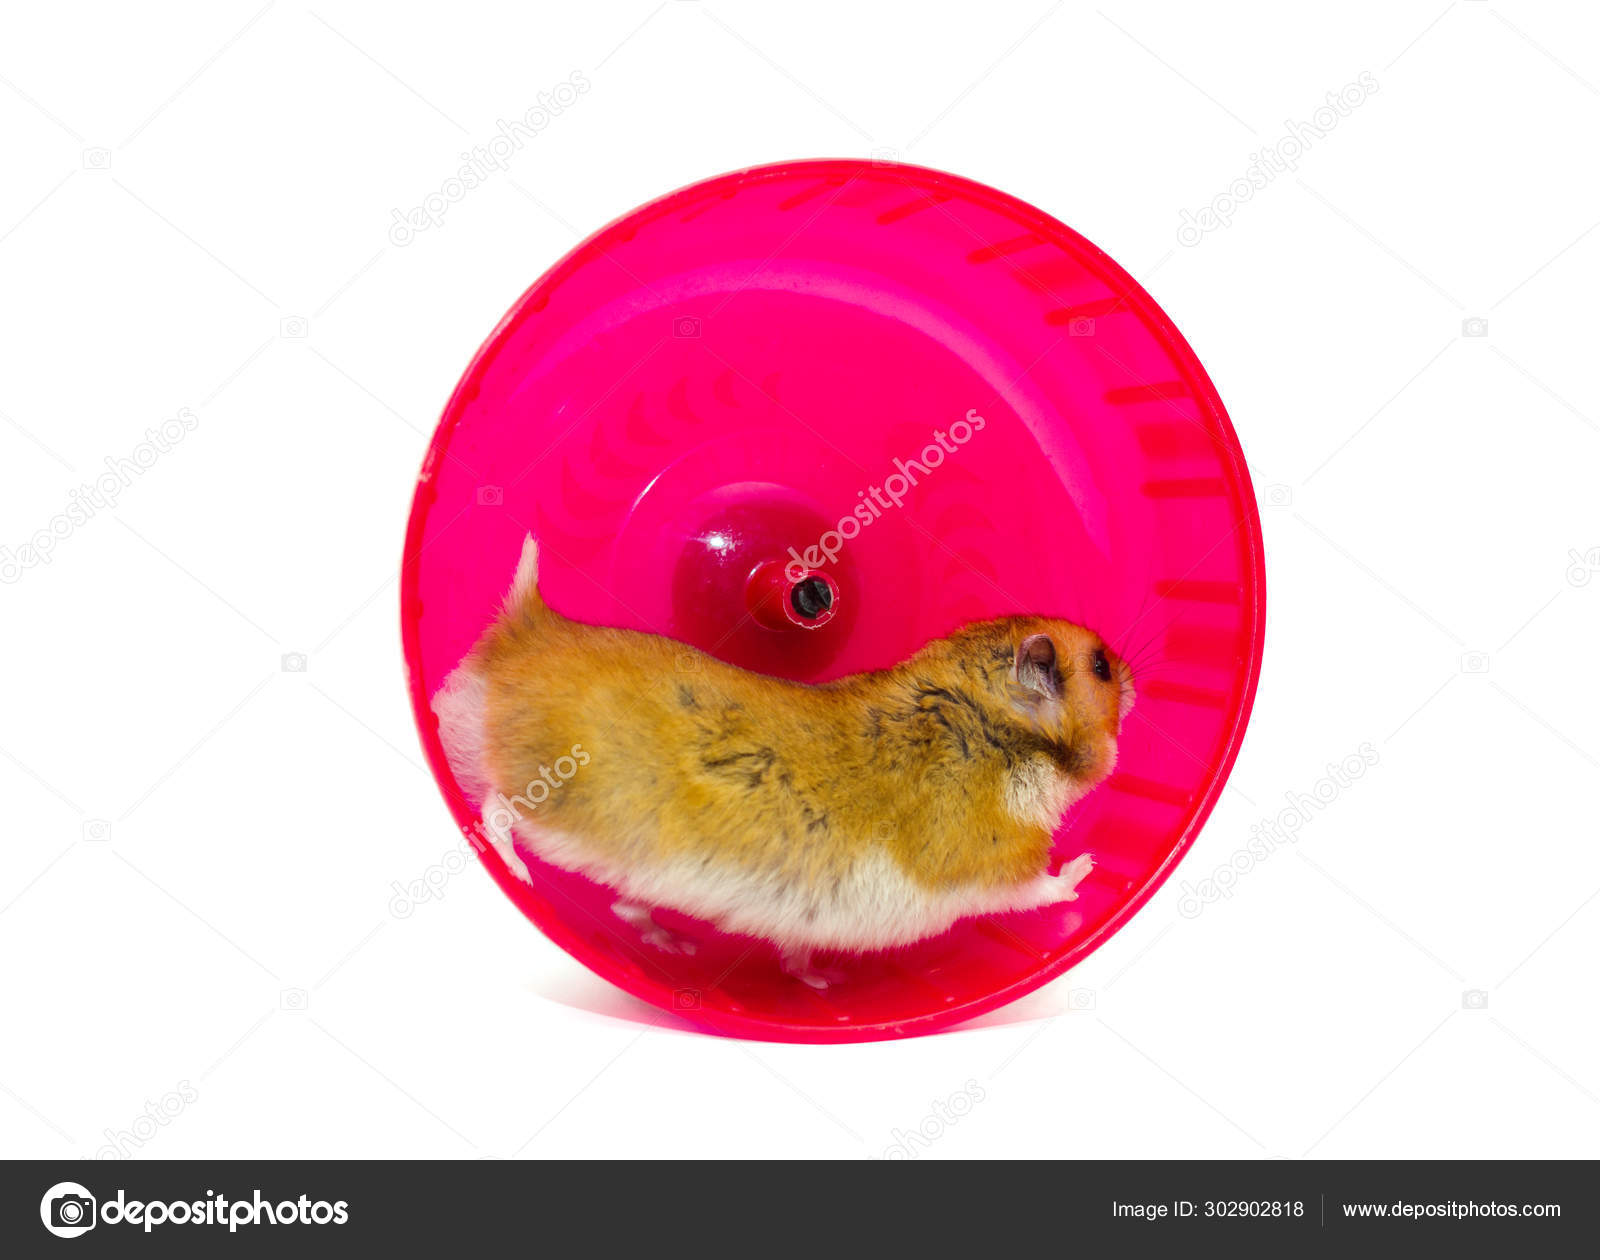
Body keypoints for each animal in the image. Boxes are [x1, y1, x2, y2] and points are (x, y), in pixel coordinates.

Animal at [433, 535, 1134, 987]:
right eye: (1100, 666)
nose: (1132, 677)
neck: (1001, 733)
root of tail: (522, 634)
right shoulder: (993, 862)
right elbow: (1042, 886)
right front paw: (1088, 867)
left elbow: (796, 952)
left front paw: (821, 983)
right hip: (555, 808)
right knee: (494, 808)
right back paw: (518, 874)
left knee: (624, 907)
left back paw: (675, 944)